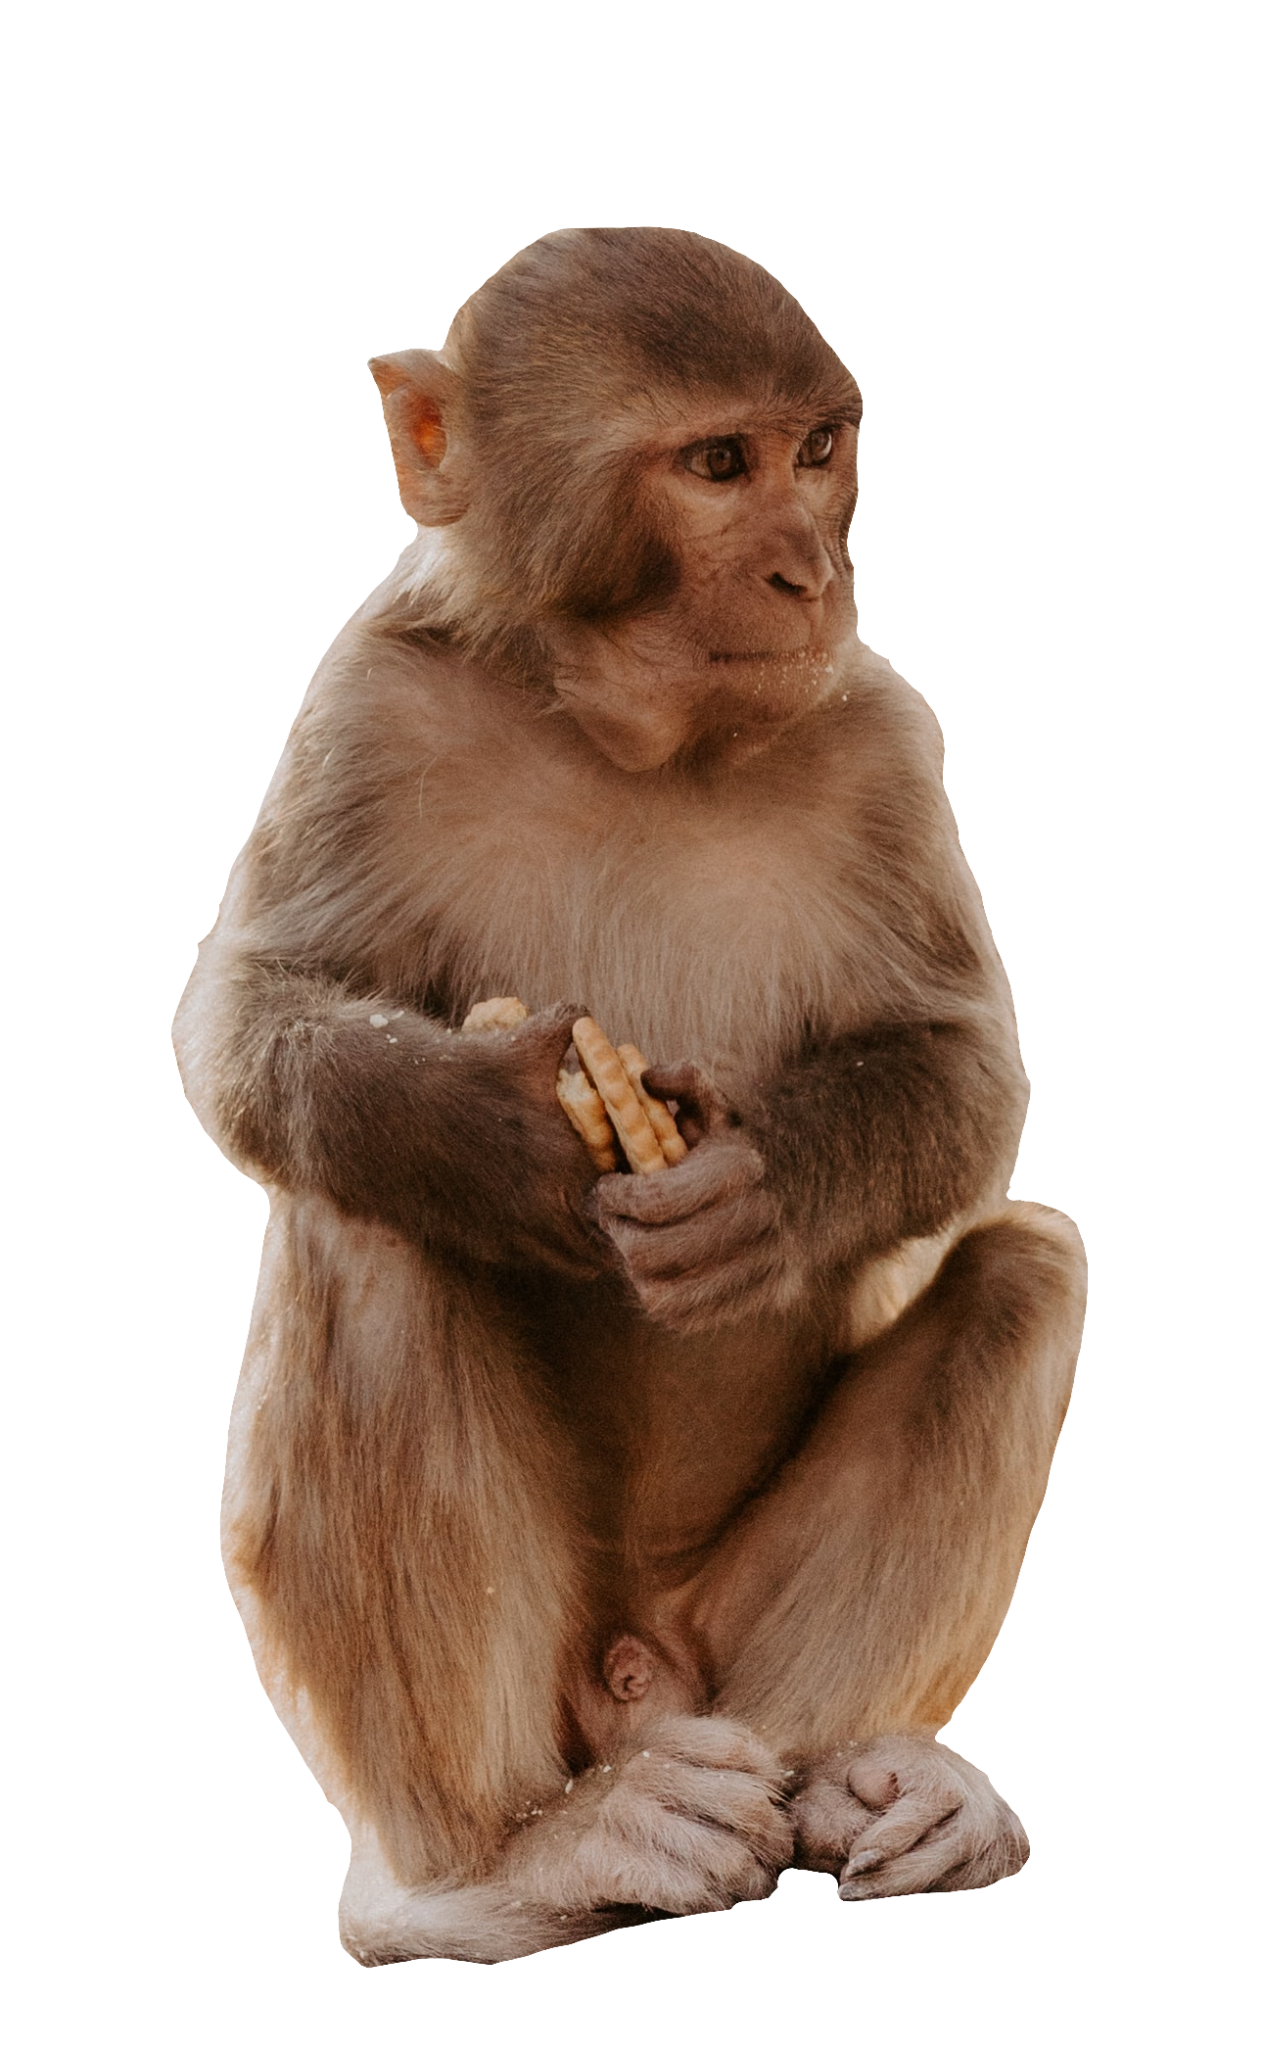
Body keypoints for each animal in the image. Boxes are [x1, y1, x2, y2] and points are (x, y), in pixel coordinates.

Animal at [173, 227, 1087, 1965]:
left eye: (817, 450)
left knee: (1023, 1269)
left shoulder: (880, 729)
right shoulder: (360, 700)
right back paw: (499, 1871)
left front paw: (758, 1197)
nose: (811, 571)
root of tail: (644, 1693)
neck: (630, 732)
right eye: (716, 466)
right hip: (545, 1690)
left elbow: (962, 1071)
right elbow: (243, 1017)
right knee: (359, 1226)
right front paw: (487, 1138)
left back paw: (856, 1789)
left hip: (721, 1651)